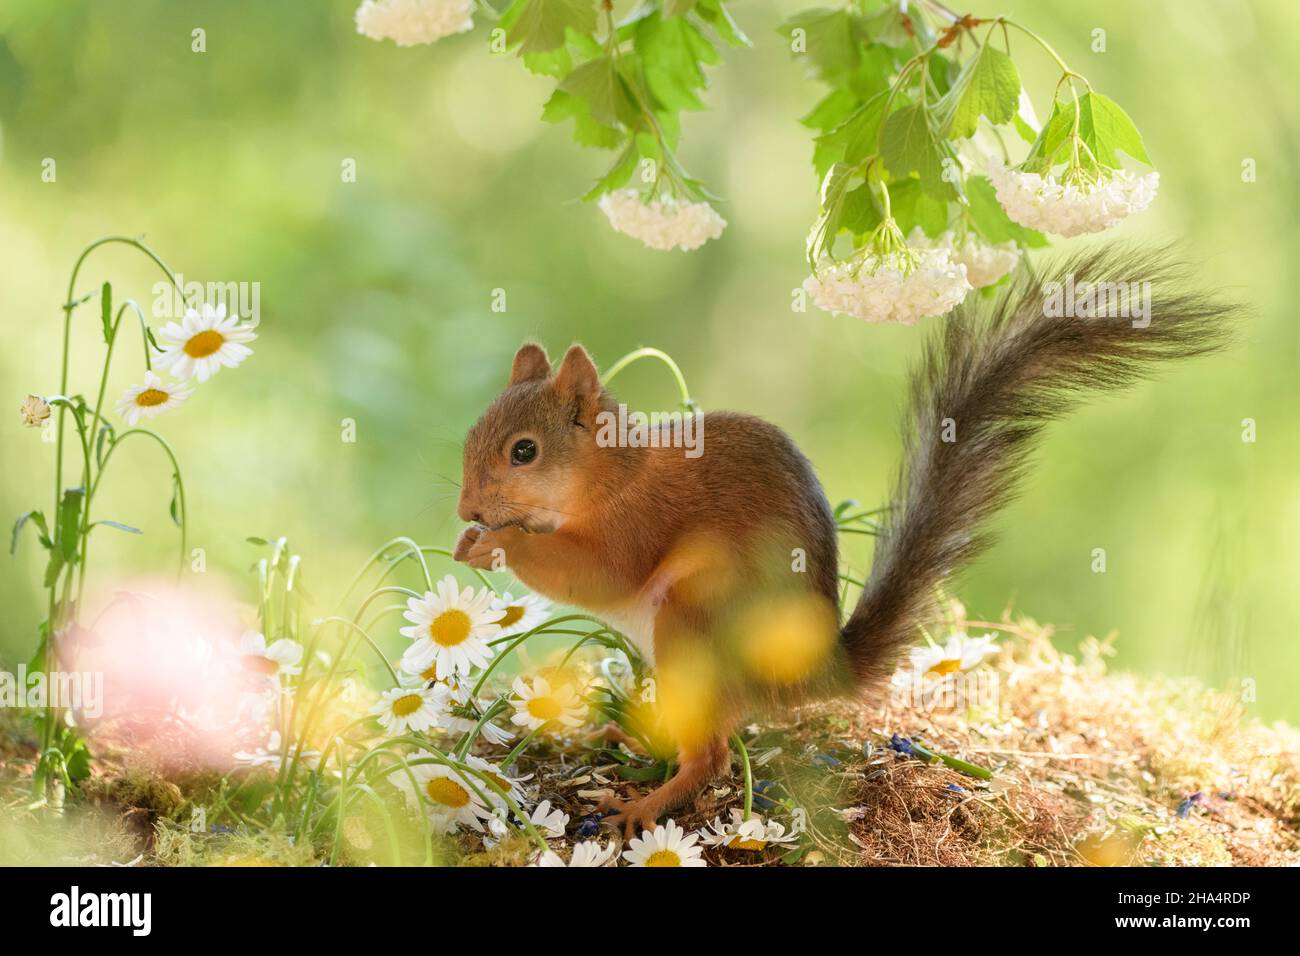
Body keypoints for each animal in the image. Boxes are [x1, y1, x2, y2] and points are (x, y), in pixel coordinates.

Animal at [454, 244, 1234, 836]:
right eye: (472, 436)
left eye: (524, 452)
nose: (465, 505)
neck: (608, 473)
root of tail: (808, 674)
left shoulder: (633, 523)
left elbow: (599, 574)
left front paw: (498, 546)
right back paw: (629, 737)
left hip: (692, 617)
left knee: (711, 757)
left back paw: (639, 807)